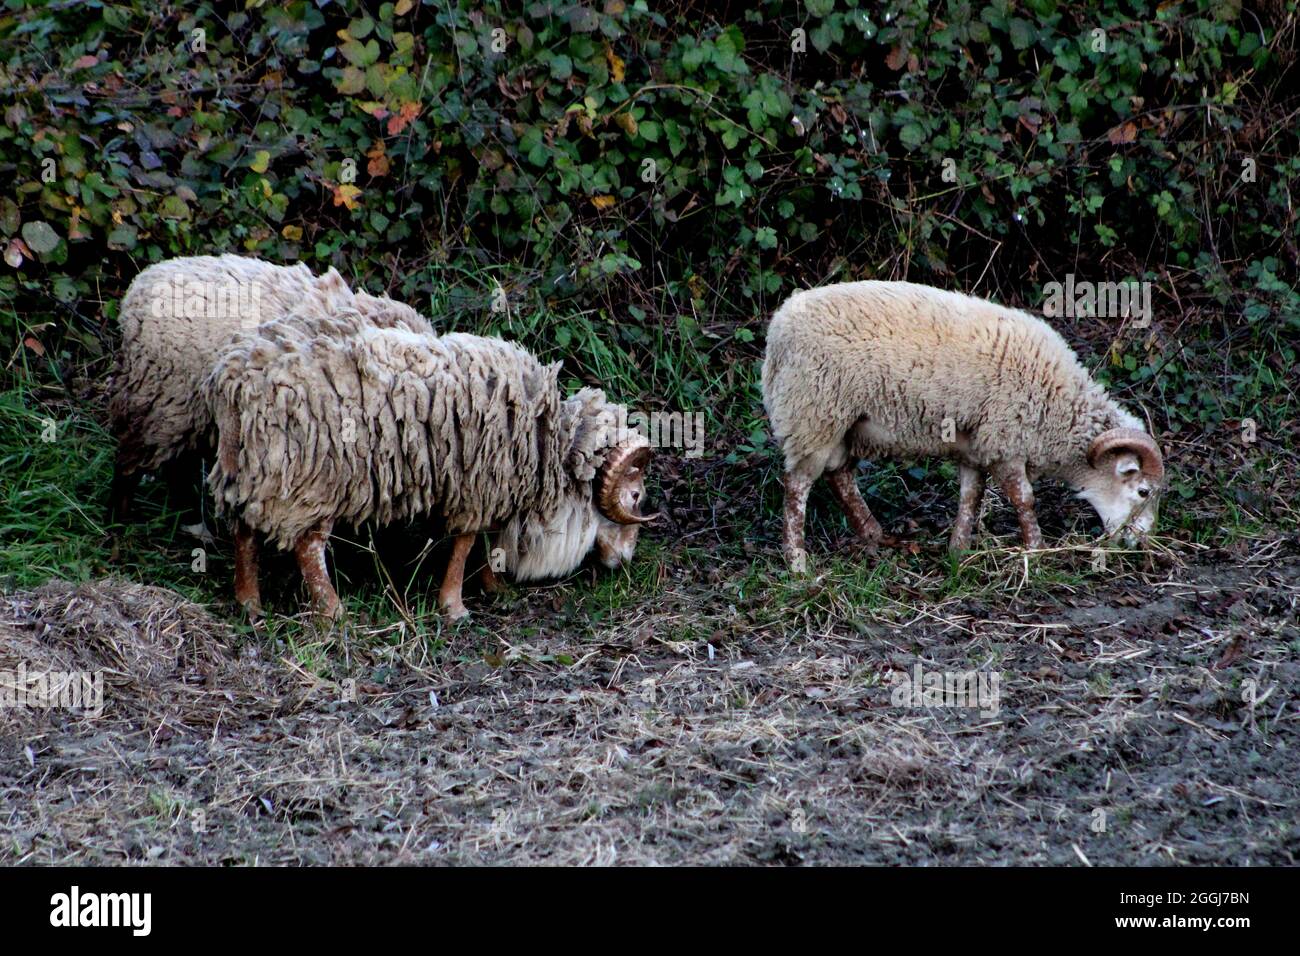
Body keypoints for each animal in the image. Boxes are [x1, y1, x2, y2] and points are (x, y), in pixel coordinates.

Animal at [107, 254, 430, 521]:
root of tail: (138, 290)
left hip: (184, 410)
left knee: (177, 468)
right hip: (160, 398)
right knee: (130, 462)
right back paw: (121, 523)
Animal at [205, 312, 656, 619]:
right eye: (634, 495)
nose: (624, 561)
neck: (546, 438)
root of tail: (234, 379)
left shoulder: (490, 482)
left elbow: (488, 542)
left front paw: (493, 586)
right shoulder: (478, 483)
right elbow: (467, 542)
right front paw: (454, 605)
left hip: (250, 467)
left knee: (243, 530)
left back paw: (249, 602)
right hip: (311, 477)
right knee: (307, 545)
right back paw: (332, 612)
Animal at [762, 280, 1165, 570]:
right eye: (1143, 491)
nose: (1141, 544)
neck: (1058, 404)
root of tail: (778, 331)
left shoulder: (976, 444)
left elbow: (971, 495)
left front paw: (958, 552)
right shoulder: (1005, 440)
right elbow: (1024, 498)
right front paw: (1036, 551)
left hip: (844, 424)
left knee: (840, 475)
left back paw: (874, 535)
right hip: (813, 413)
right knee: (797, 486)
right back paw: (798, 566)